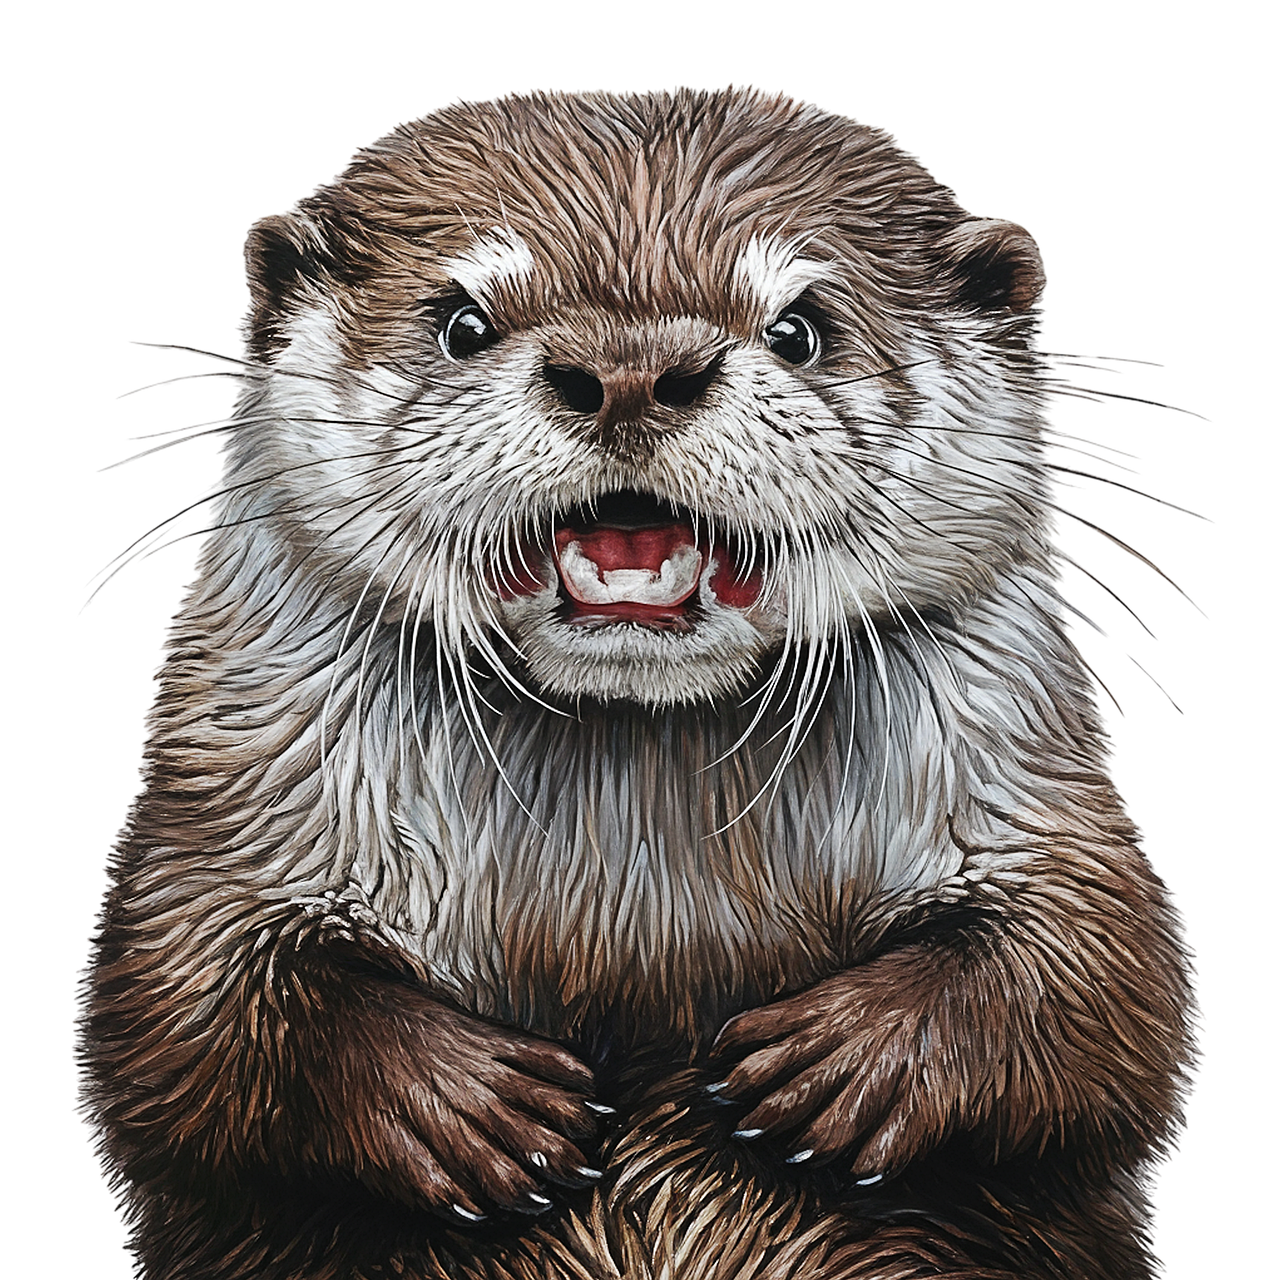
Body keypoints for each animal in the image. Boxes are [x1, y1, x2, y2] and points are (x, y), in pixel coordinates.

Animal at [79, 88, 1196, 1279]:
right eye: (461, 320)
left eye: (800, 325)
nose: (625, 375)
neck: (637, 899)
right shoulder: (224, 816)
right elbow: (190, 1012)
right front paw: (461, 1105)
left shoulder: (1040, 799)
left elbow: (1103, 986)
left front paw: (852, 1061)